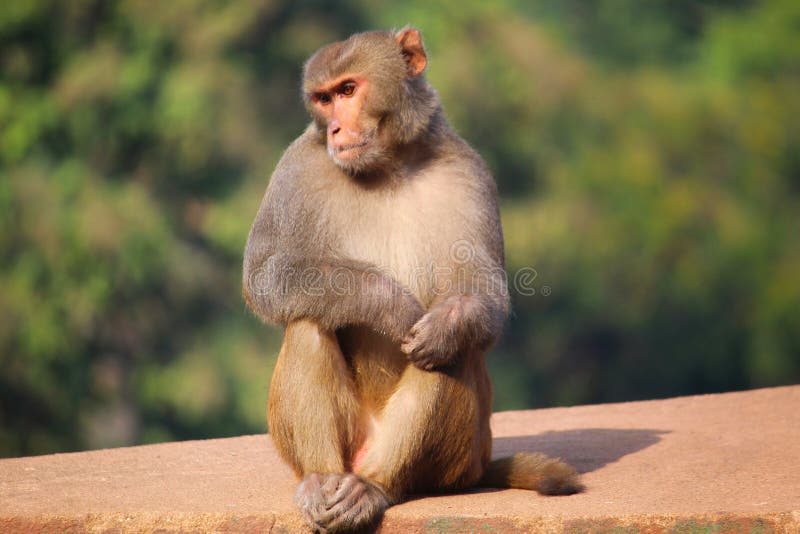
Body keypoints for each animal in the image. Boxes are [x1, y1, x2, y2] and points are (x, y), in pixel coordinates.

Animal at [242, 27, 581, 533]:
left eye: (348, 90)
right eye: (323, 99)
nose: (336, 130)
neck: (389, 166)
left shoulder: (470, 173)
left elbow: (484, 295)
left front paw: (447, 324)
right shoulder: (297, 166)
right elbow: (265, 274)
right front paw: (387, 303)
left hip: (456, 461)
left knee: (448, 356)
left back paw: (375, 484)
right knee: (308, 321)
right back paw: (322, 479)